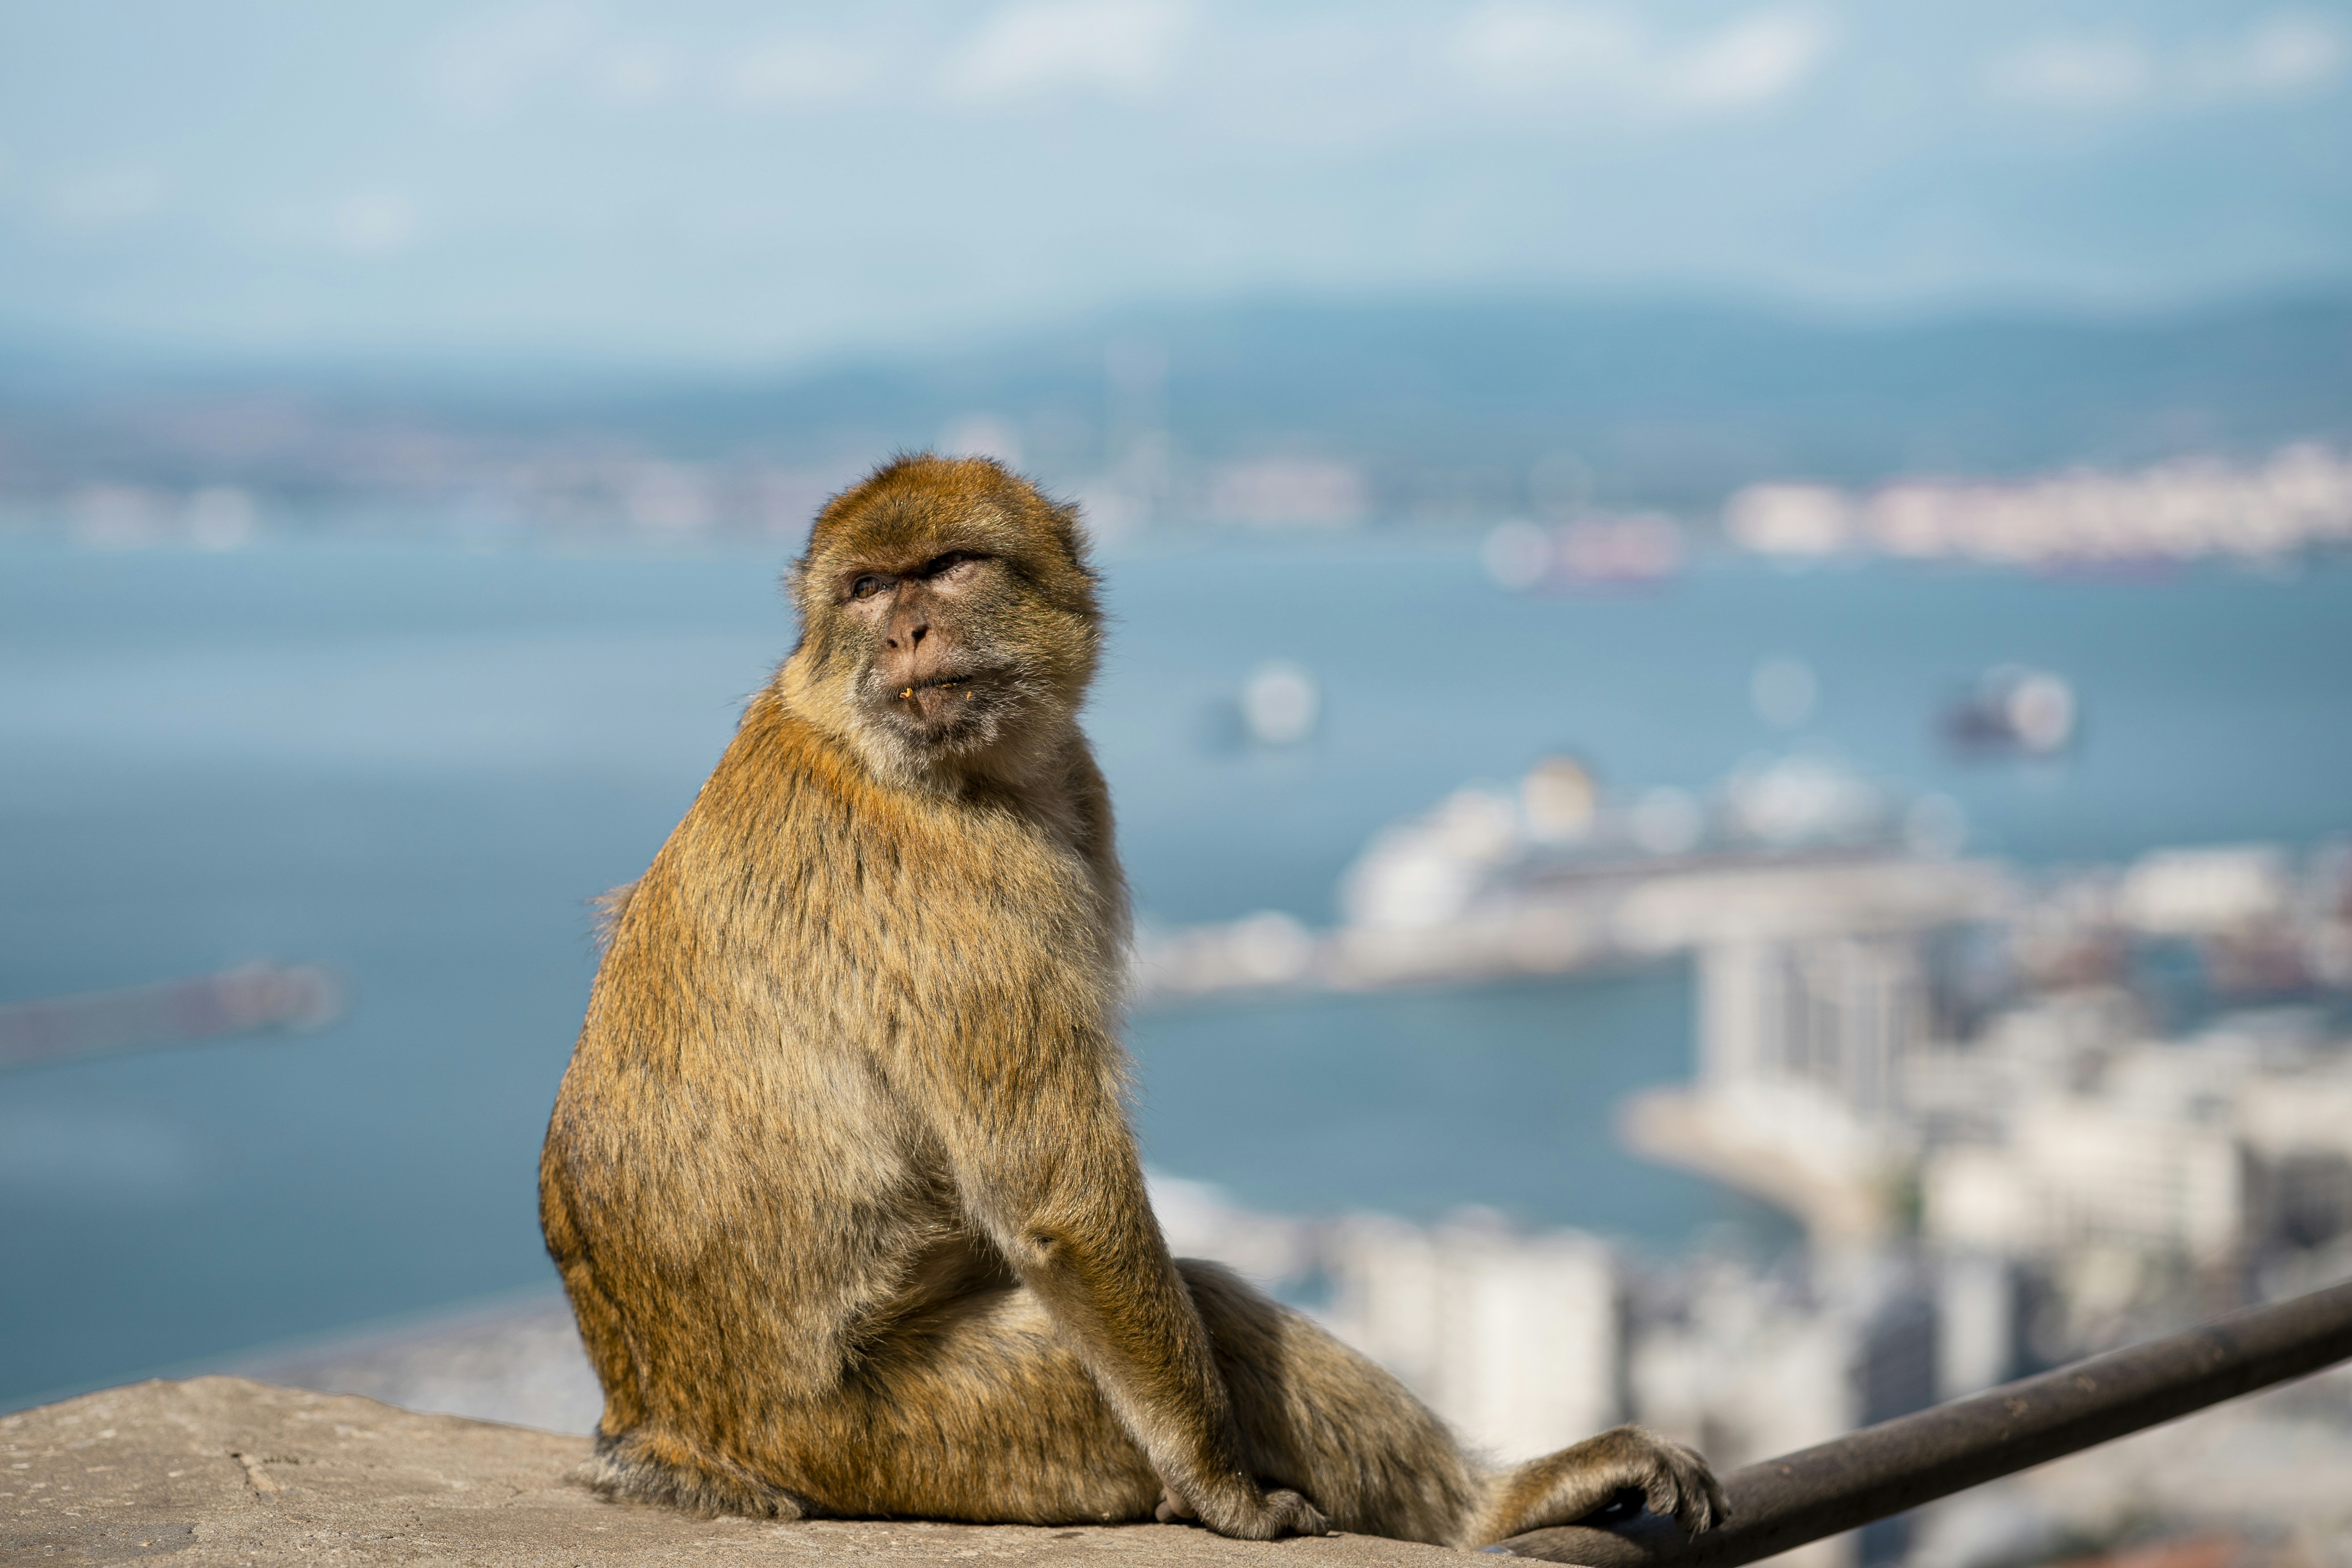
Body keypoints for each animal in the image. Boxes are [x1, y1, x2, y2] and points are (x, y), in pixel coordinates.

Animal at [538, 453, 1726, 1547]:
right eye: (867, 587)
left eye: (948, 567)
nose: (905, 631)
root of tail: (675, 1438)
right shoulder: (975, 897)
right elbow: (1063, 1201)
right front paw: (1225, 1486)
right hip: (934, 1429)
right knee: (1202, 1311)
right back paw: (1489, 1509)